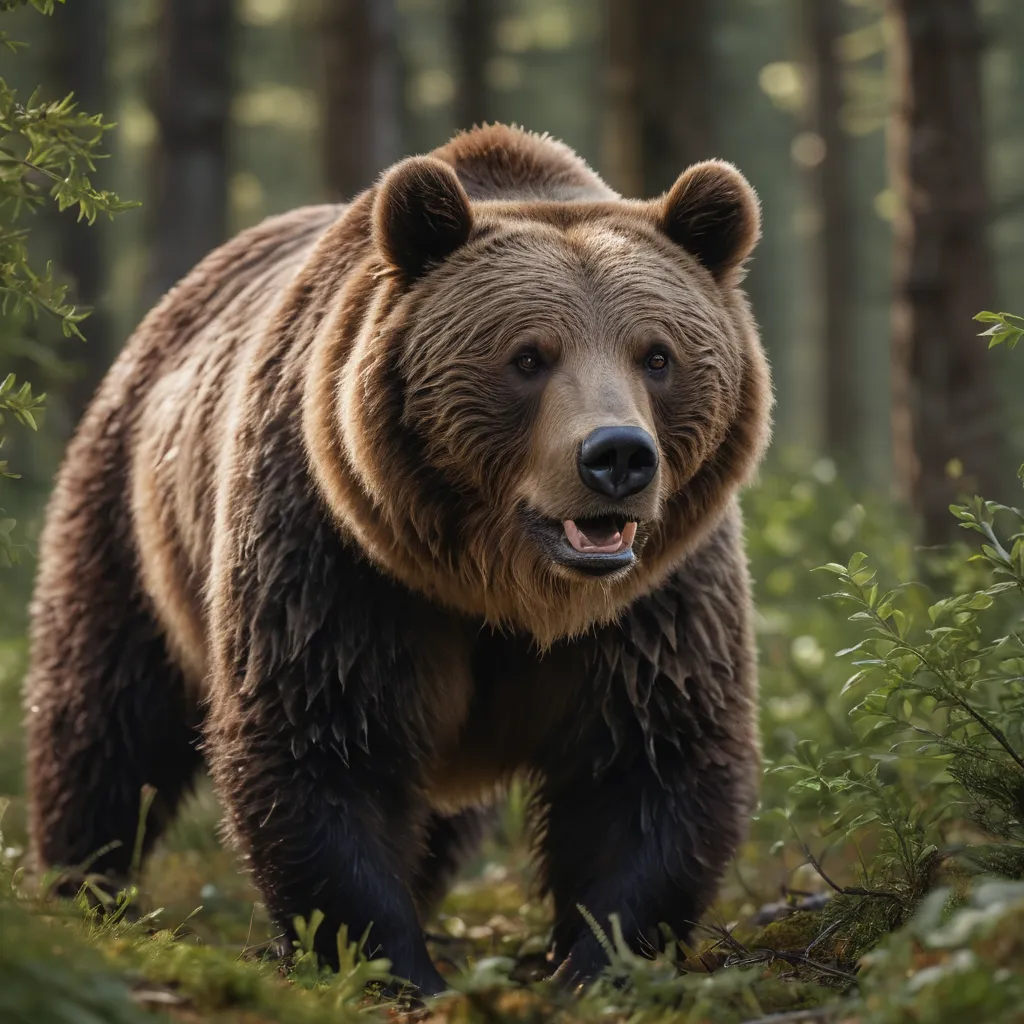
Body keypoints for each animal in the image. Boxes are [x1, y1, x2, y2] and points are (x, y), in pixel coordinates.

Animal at [23, 124, 771, 995]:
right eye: (528, 356)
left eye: (657, 354)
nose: (617, 456)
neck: (503, 588)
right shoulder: (338, 564)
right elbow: (324, 740)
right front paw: (394, 969)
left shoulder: (655, 600)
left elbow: (652, 756)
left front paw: (600, 963)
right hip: (129, 514)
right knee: (102, 717)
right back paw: (83, 884)